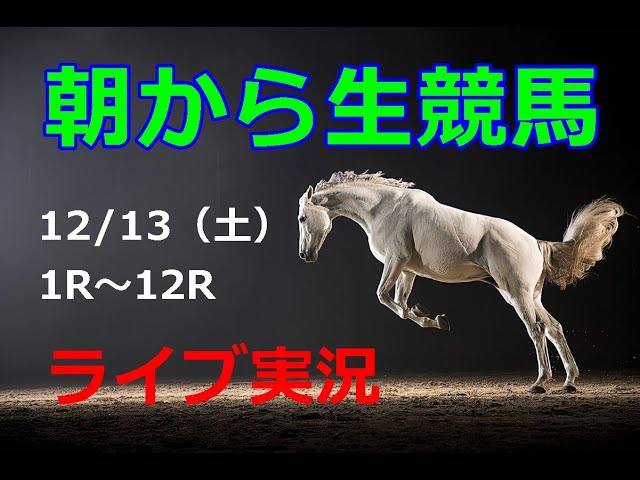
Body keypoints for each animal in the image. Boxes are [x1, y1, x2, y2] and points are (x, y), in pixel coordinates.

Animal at [297, 171, 624, 393]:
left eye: (302, 218)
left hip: (517, 294)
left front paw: (431, 317)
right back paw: (569, 381)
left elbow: (383, 297)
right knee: (554, 327)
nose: (305, 255)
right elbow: (400, 304)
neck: (384, 207)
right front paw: (433, 318)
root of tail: (535, 243)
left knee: (537, 329)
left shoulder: (396, 261)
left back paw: (540, 383)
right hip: (527, 295)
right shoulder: (407, 270)